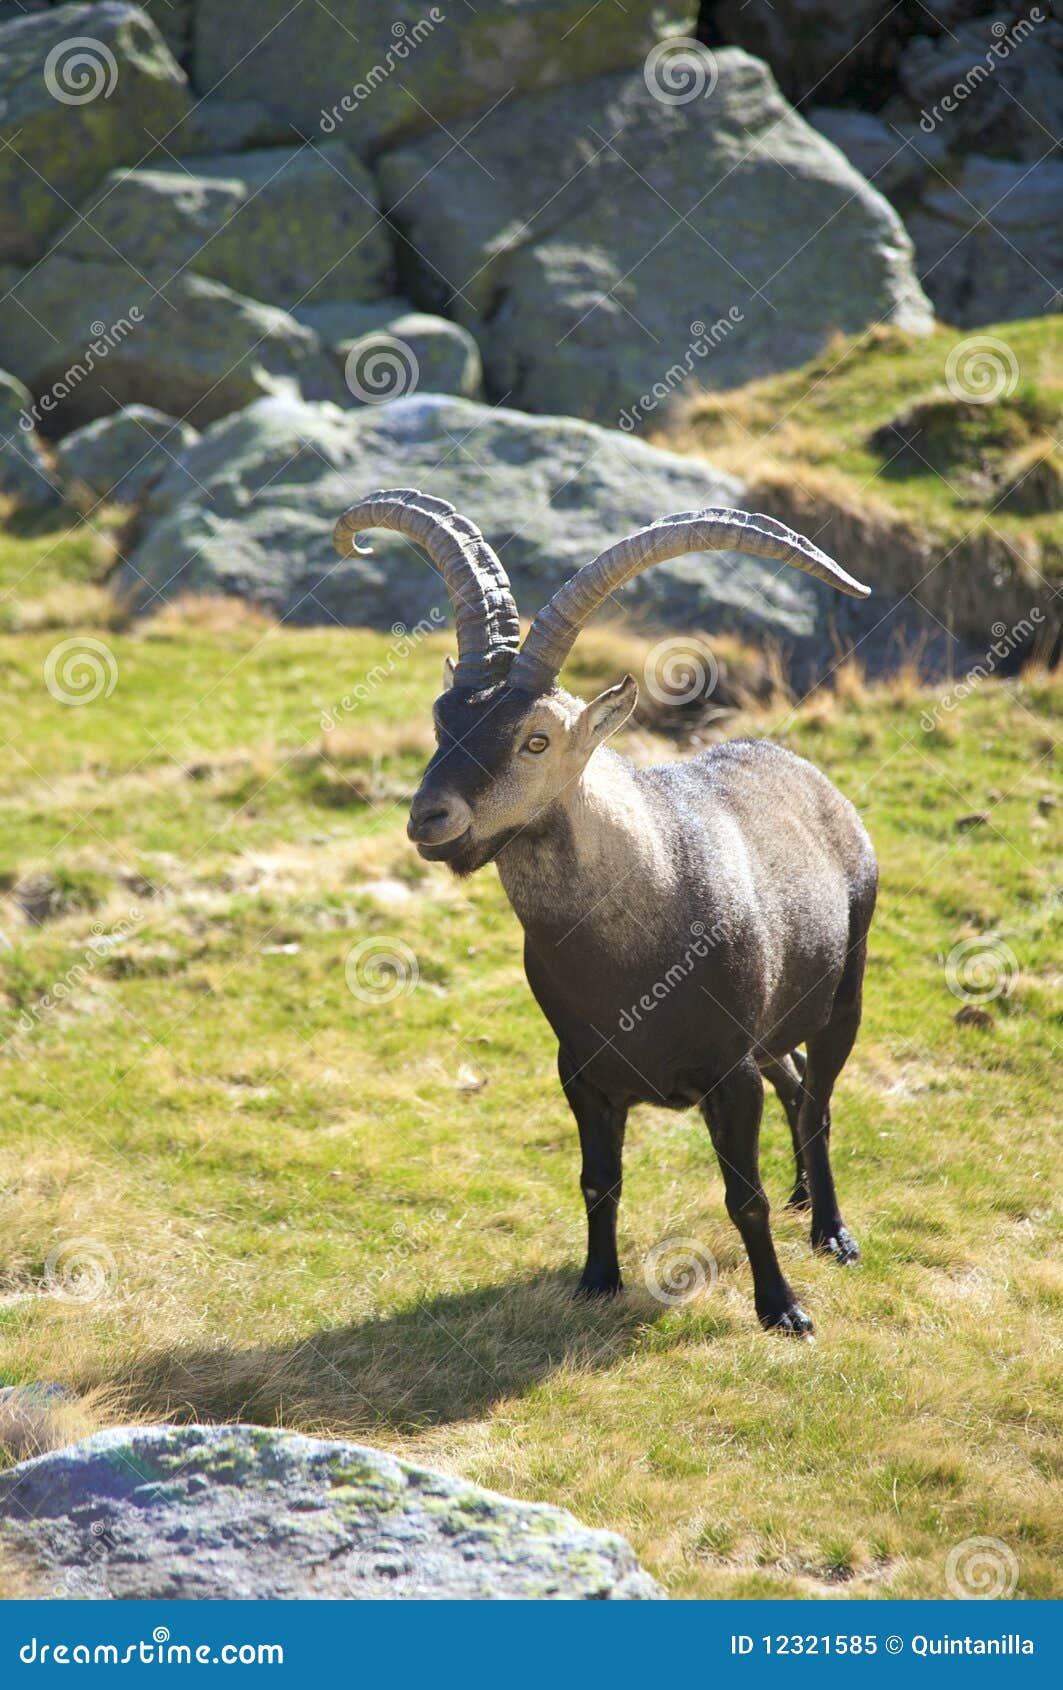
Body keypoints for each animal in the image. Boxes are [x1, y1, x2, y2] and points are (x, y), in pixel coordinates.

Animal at [334, 491, 877, 1334]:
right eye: (439, 718)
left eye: (536, 739)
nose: (429, 818)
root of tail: (810, 777)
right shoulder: (580, 1070)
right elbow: (598, 1180)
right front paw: (596, 1280)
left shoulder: (728, 1074)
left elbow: (742, 1199)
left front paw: (782, 1310)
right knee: (793, 1085)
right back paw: (802, 1202)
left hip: (841, 994)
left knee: (815, 1102)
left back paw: (829, 1229)